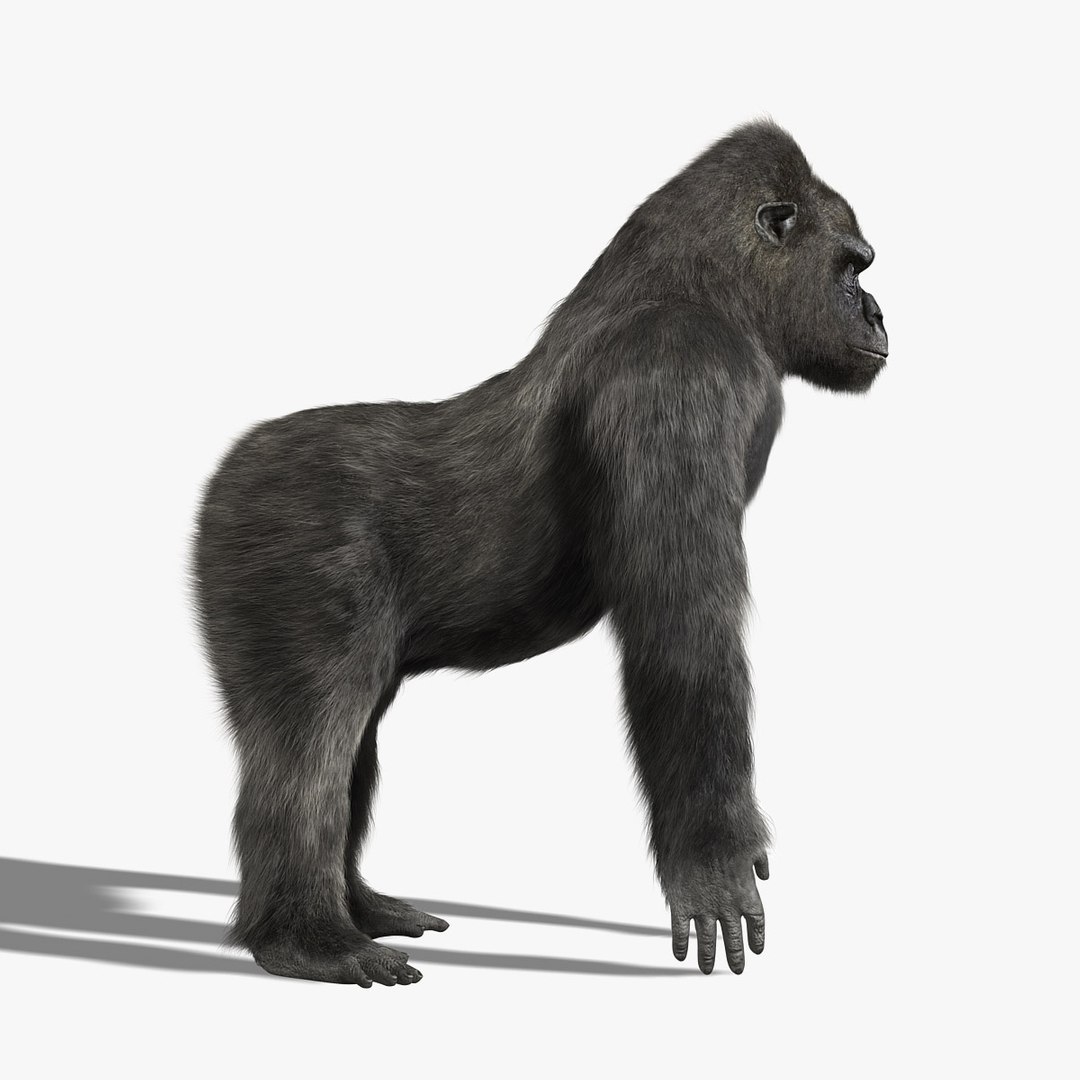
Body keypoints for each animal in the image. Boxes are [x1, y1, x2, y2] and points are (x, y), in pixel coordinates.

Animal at [192, 119, 887, 987]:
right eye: (852, 266)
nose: (878, 312)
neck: (710, 287)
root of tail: (226, 473)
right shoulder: (677, 367)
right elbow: (682, 638)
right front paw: (712, 862)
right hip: (273, 537)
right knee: (309, 740)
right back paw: (307, 940)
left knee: (348, 733)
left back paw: (358, 908)